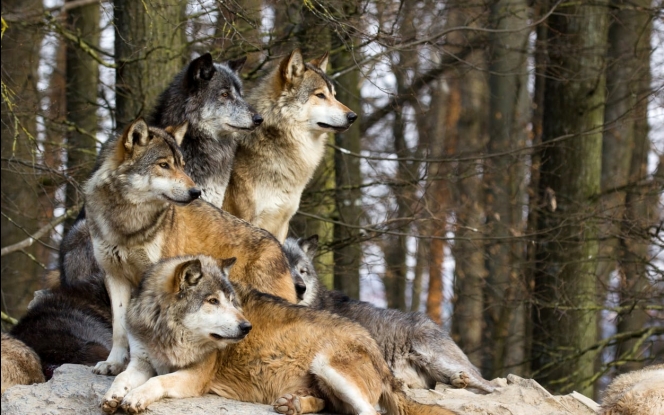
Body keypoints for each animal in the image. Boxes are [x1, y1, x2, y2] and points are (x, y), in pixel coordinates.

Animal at [85, 118, 297, 376]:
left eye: (182, 165)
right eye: (164, 165)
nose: (196, 192)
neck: (128, 224)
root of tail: (278, 245)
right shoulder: (114, 277)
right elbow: (119, 327)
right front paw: (113, 363)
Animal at [101, 255, 456, 415]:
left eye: (232, 301)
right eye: (212, 301)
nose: (246, 327)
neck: (167, 334)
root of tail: (375, 348)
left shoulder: (195, 377)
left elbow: (157, 382)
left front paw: (135, 398)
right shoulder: (141, 360)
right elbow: (123, 377)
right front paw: (114, 395)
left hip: (328, 365)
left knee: (370, 413)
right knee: (332, 408)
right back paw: (293, 404)